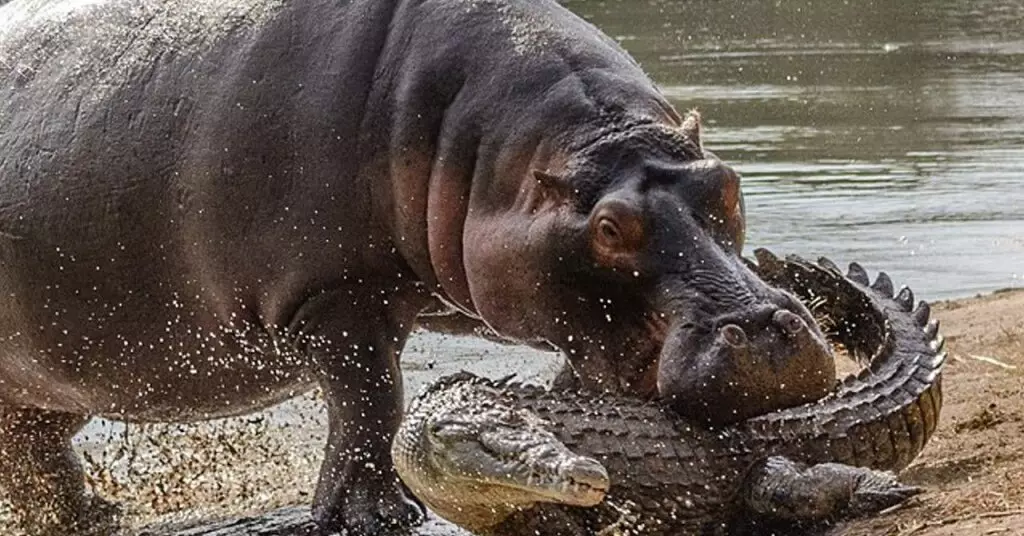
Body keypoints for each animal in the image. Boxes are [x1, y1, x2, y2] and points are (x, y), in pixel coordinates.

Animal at [0, 0, 831, 532]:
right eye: (609, 228)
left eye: (727, 182)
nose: (769, 328)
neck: (499, 156)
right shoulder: (333, 296)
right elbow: (371, 401)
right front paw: (378, 517)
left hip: (46, 383)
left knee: (34, 445)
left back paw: (89, 513)